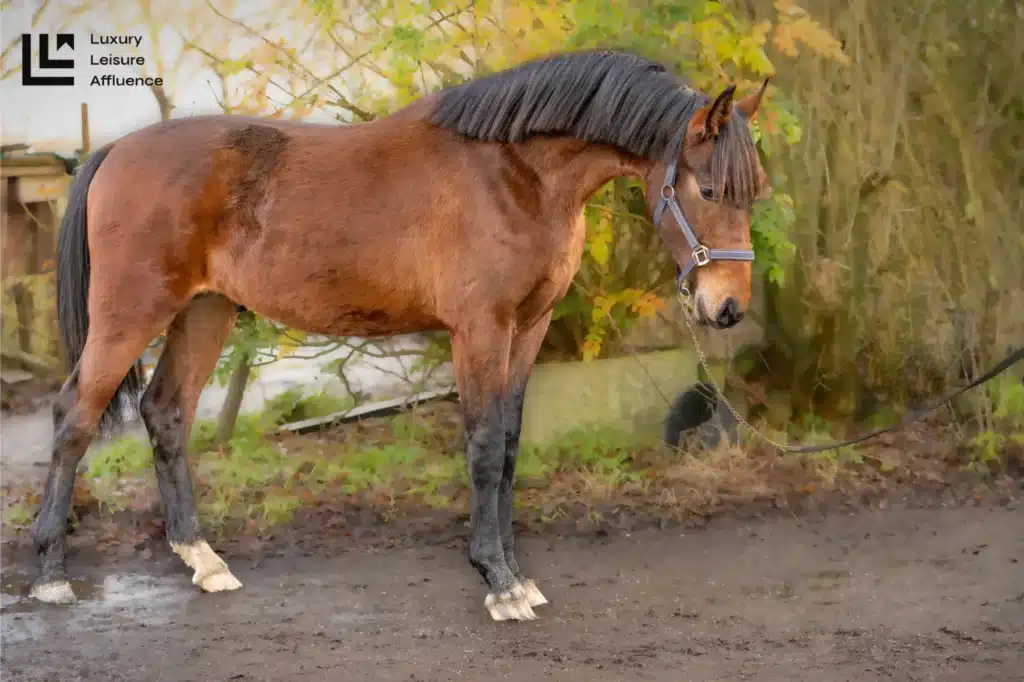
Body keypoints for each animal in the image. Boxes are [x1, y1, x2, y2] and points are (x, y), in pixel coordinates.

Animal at [31, 50, 770, 622]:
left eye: (754, 189)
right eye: (709, 188)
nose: (728, 307)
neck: (516, 173)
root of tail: (114, 151)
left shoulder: (528, 328)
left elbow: (508, 444)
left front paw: (518, 576)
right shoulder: (480, 329)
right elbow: (482, 446)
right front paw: (498, 584)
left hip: (205, 311)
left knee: (166, 413)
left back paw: (203, 562)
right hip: (130, 314)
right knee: (75, 417)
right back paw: (50, 576)